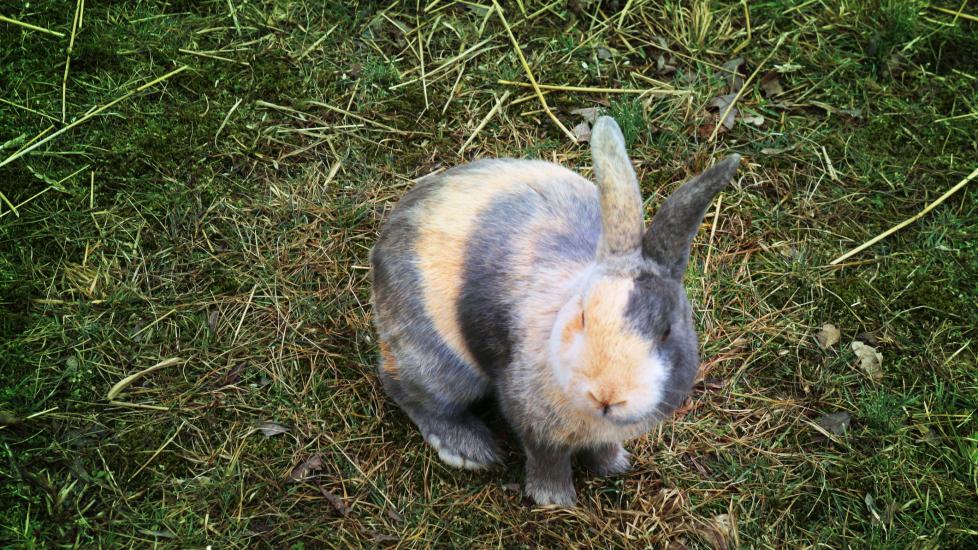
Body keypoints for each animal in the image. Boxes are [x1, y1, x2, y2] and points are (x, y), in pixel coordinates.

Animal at [370, 116, 740, 506]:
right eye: (583, 316)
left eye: (667, 331)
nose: (607, 395)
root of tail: (386, 239)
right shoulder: (532, 418)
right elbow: (547, 458)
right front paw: (554, 500)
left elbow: (602, 447)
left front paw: (614, 466)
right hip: (439, 361)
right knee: (409, 391)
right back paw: (469, 450)